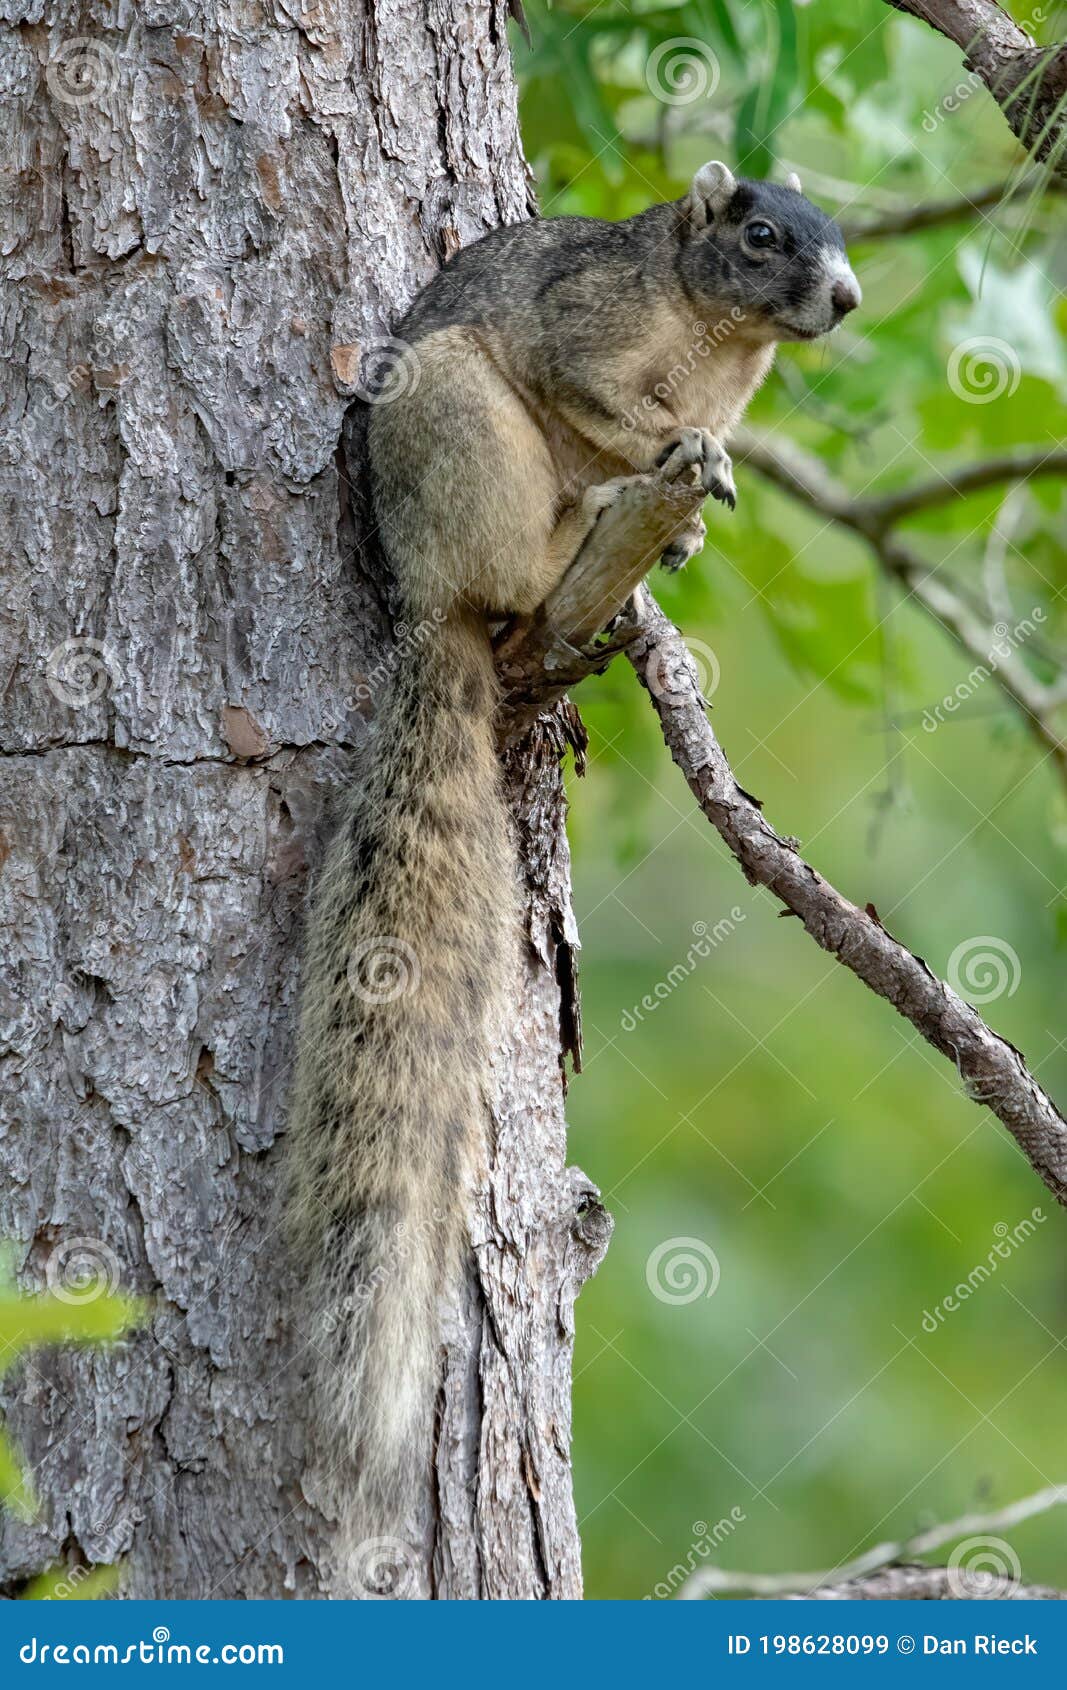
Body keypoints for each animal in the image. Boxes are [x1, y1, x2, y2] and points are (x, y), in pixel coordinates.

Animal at [287, 159, 859, 1581]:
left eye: (835, 236)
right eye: (759, 233)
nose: (842, 297)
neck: (713, 341)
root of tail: (430, 607)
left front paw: (695, 496)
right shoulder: (578, 329)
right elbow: (597, 394)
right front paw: (674, 457)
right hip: (463, 429)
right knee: (511, 567)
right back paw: (599, 517)